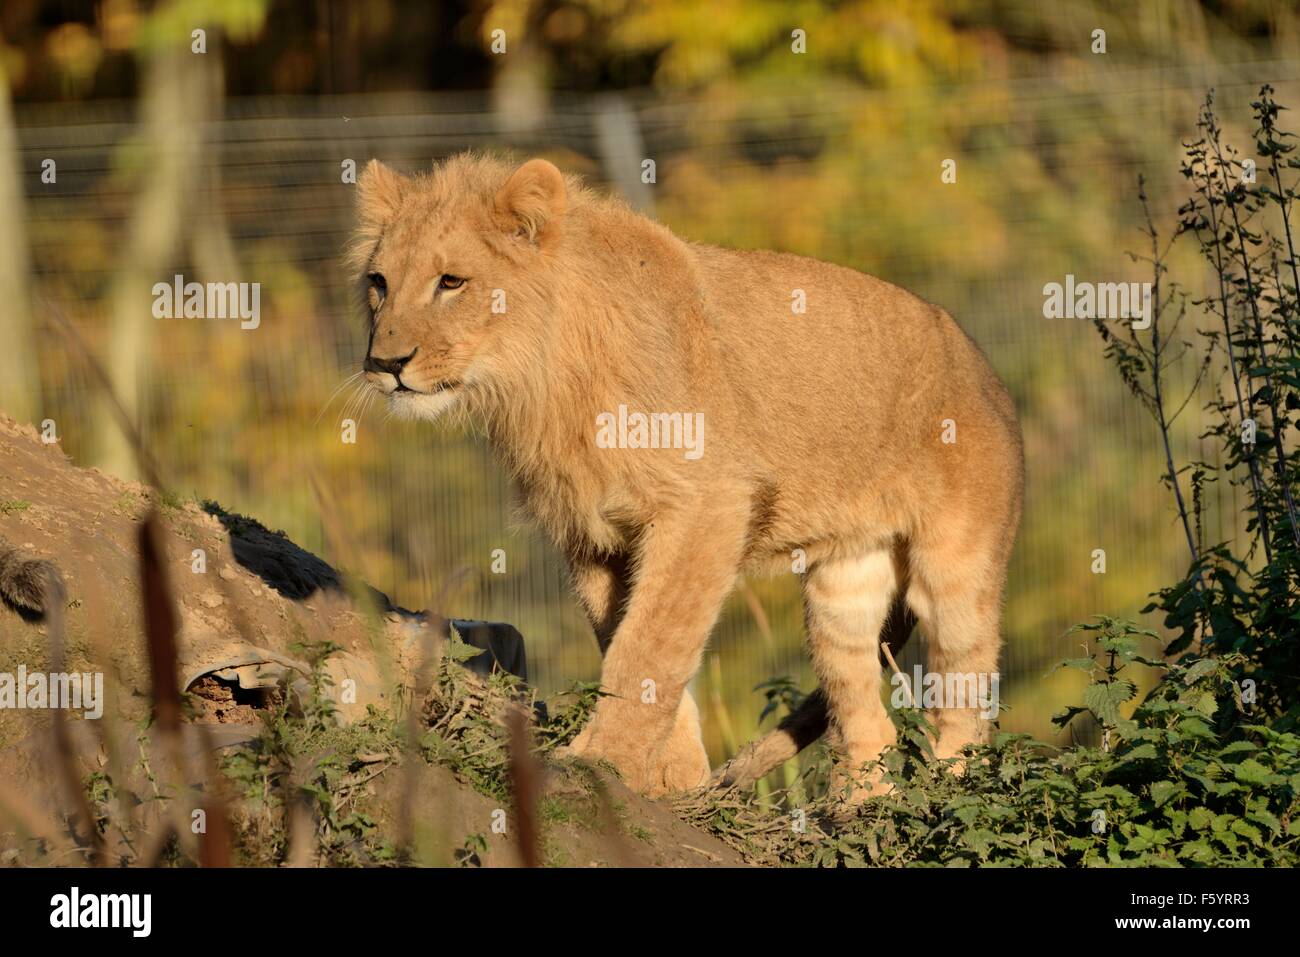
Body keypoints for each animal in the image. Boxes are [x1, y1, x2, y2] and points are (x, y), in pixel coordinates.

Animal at [352, 153, 1023, 799]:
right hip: (844, 584)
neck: (544, 377)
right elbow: (626, 639)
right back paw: (859, 814)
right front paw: (674, 782)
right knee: (865, 716)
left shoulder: (706, 504)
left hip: (956, 566)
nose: (384, 364)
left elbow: (650, 645)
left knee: (964, 697)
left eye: (451, 282)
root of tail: (985, 367)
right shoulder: (594, 535)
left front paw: (599, 763)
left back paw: (946, 804)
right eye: (379, 284)